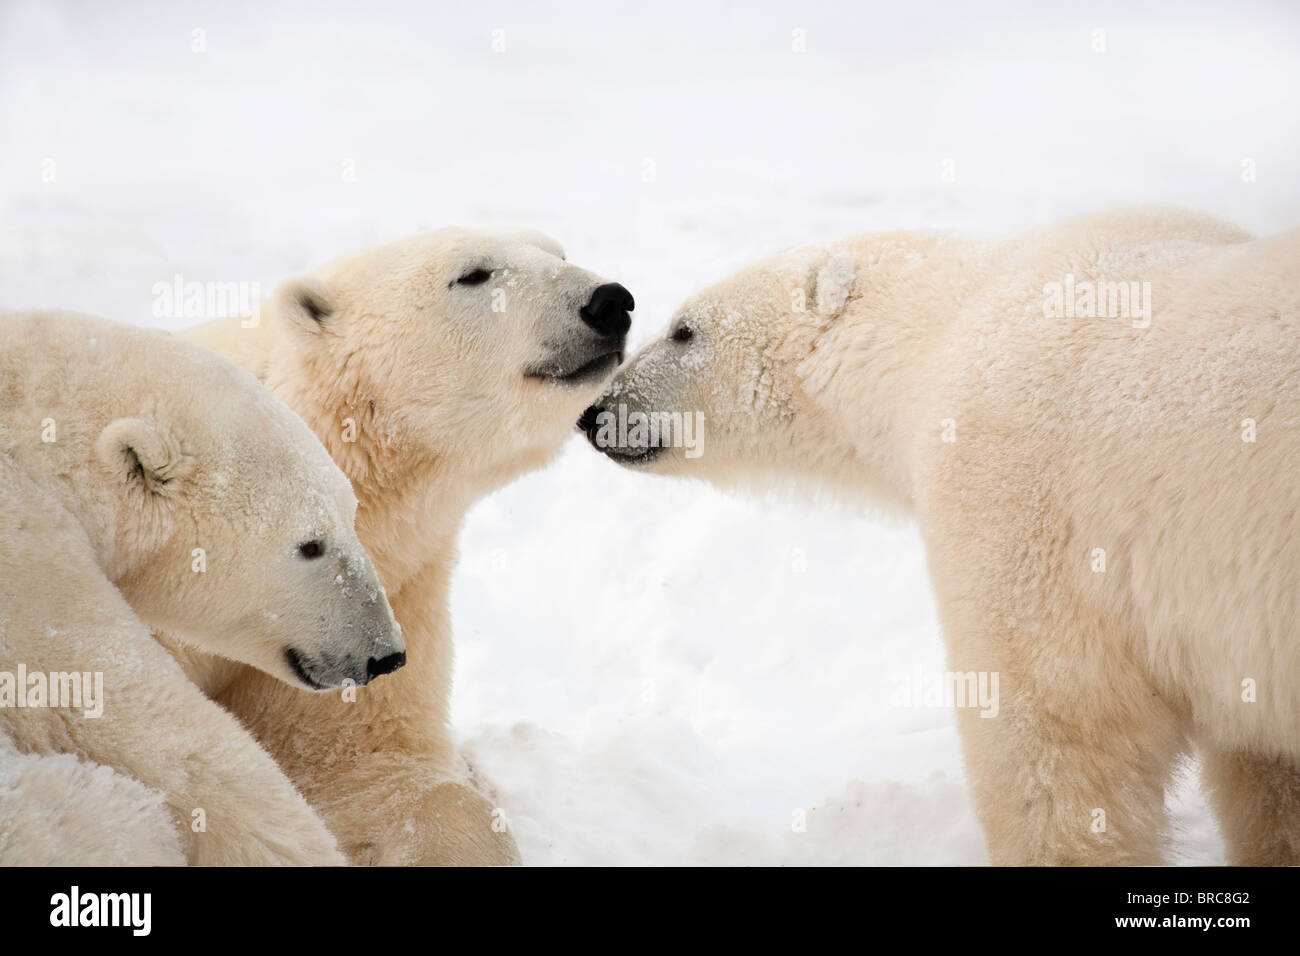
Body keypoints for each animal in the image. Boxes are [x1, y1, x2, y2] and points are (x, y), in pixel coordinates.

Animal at [580, 207, 1300, 866]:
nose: (596, 413)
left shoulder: (1023, 510)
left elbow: (1054, 746)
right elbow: (1264, 778)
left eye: (684, 330)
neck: (946, 324)